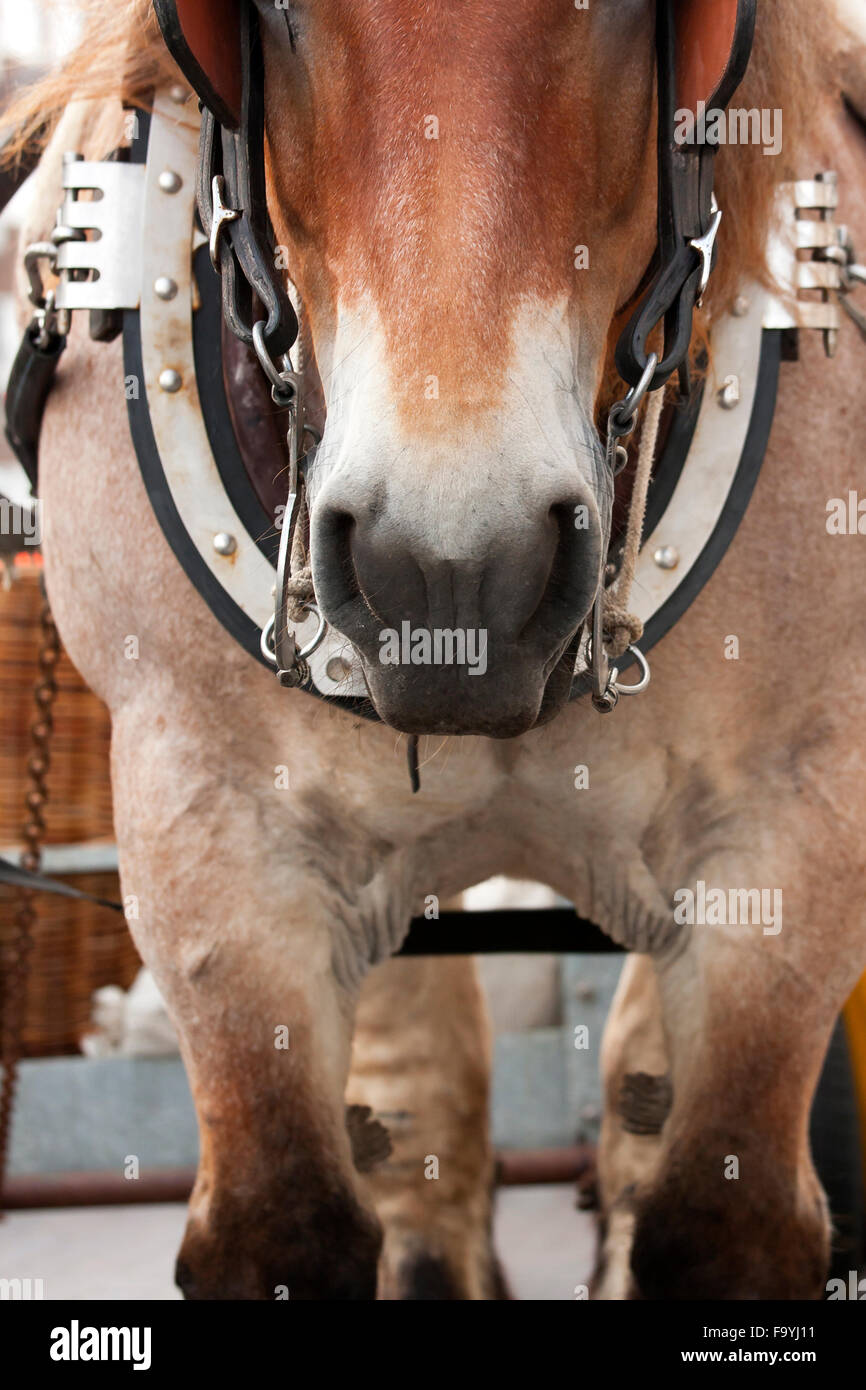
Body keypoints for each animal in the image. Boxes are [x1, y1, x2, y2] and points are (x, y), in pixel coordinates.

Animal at [7, 0, 866, 1299]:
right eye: (275, 13)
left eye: (633, 10)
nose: (455, 575)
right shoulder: (208, 827)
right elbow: (287, 1216)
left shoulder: (791, 817)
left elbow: (724, 1217)